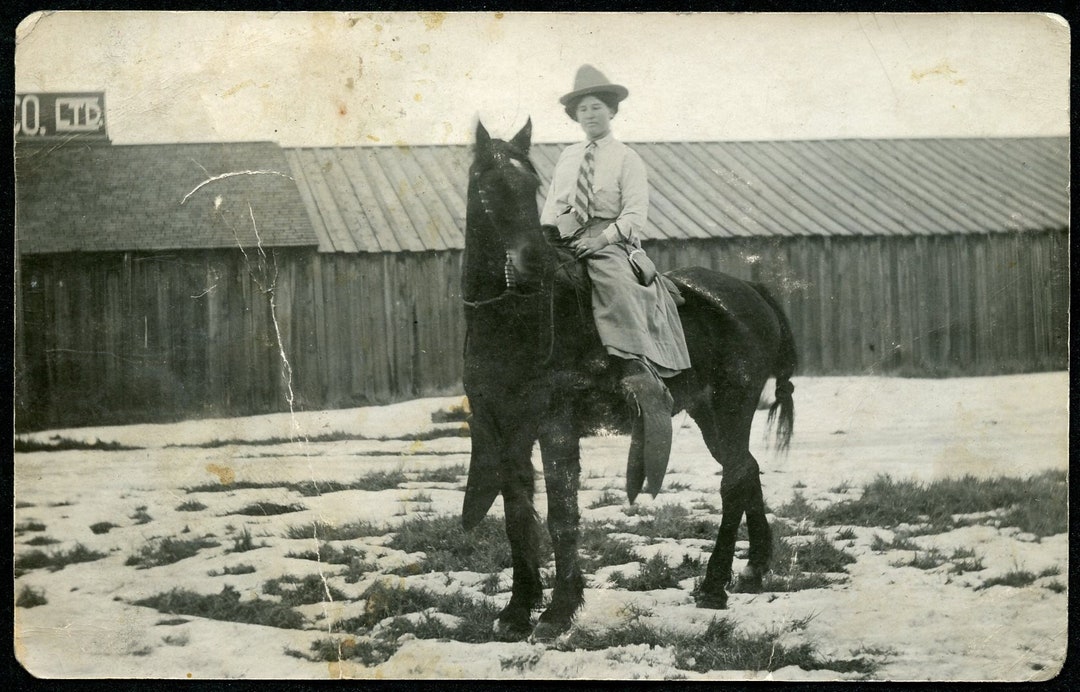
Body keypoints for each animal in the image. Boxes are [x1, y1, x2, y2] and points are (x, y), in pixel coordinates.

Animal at [461, 119, 796, 642]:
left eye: (530, 184)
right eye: (486, 184)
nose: (533, 264)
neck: (513, 322)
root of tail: (750, 289)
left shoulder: (554, 426)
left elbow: (561, 515)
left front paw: (558, 611)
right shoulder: (503, 428)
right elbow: (518, 514)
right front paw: (517, 610)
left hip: (733, 405)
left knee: (735, 479)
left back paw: (714, 585)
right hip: (708, 414)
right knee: (748, 471)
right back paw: (755, 568)